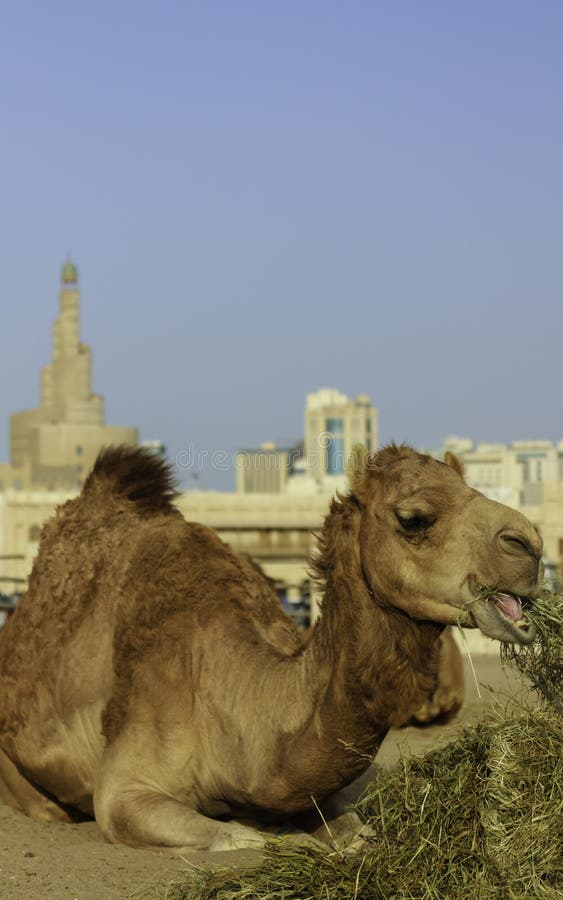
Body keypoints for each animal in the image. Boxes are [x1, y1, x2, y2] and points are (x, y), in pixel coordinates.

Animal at [0, 443, 543, 852]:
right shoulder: (124, 789)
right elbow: (239, 838)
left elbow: (353, 829)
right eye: (414, 518)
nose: (532, 545)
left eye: (472, 489)